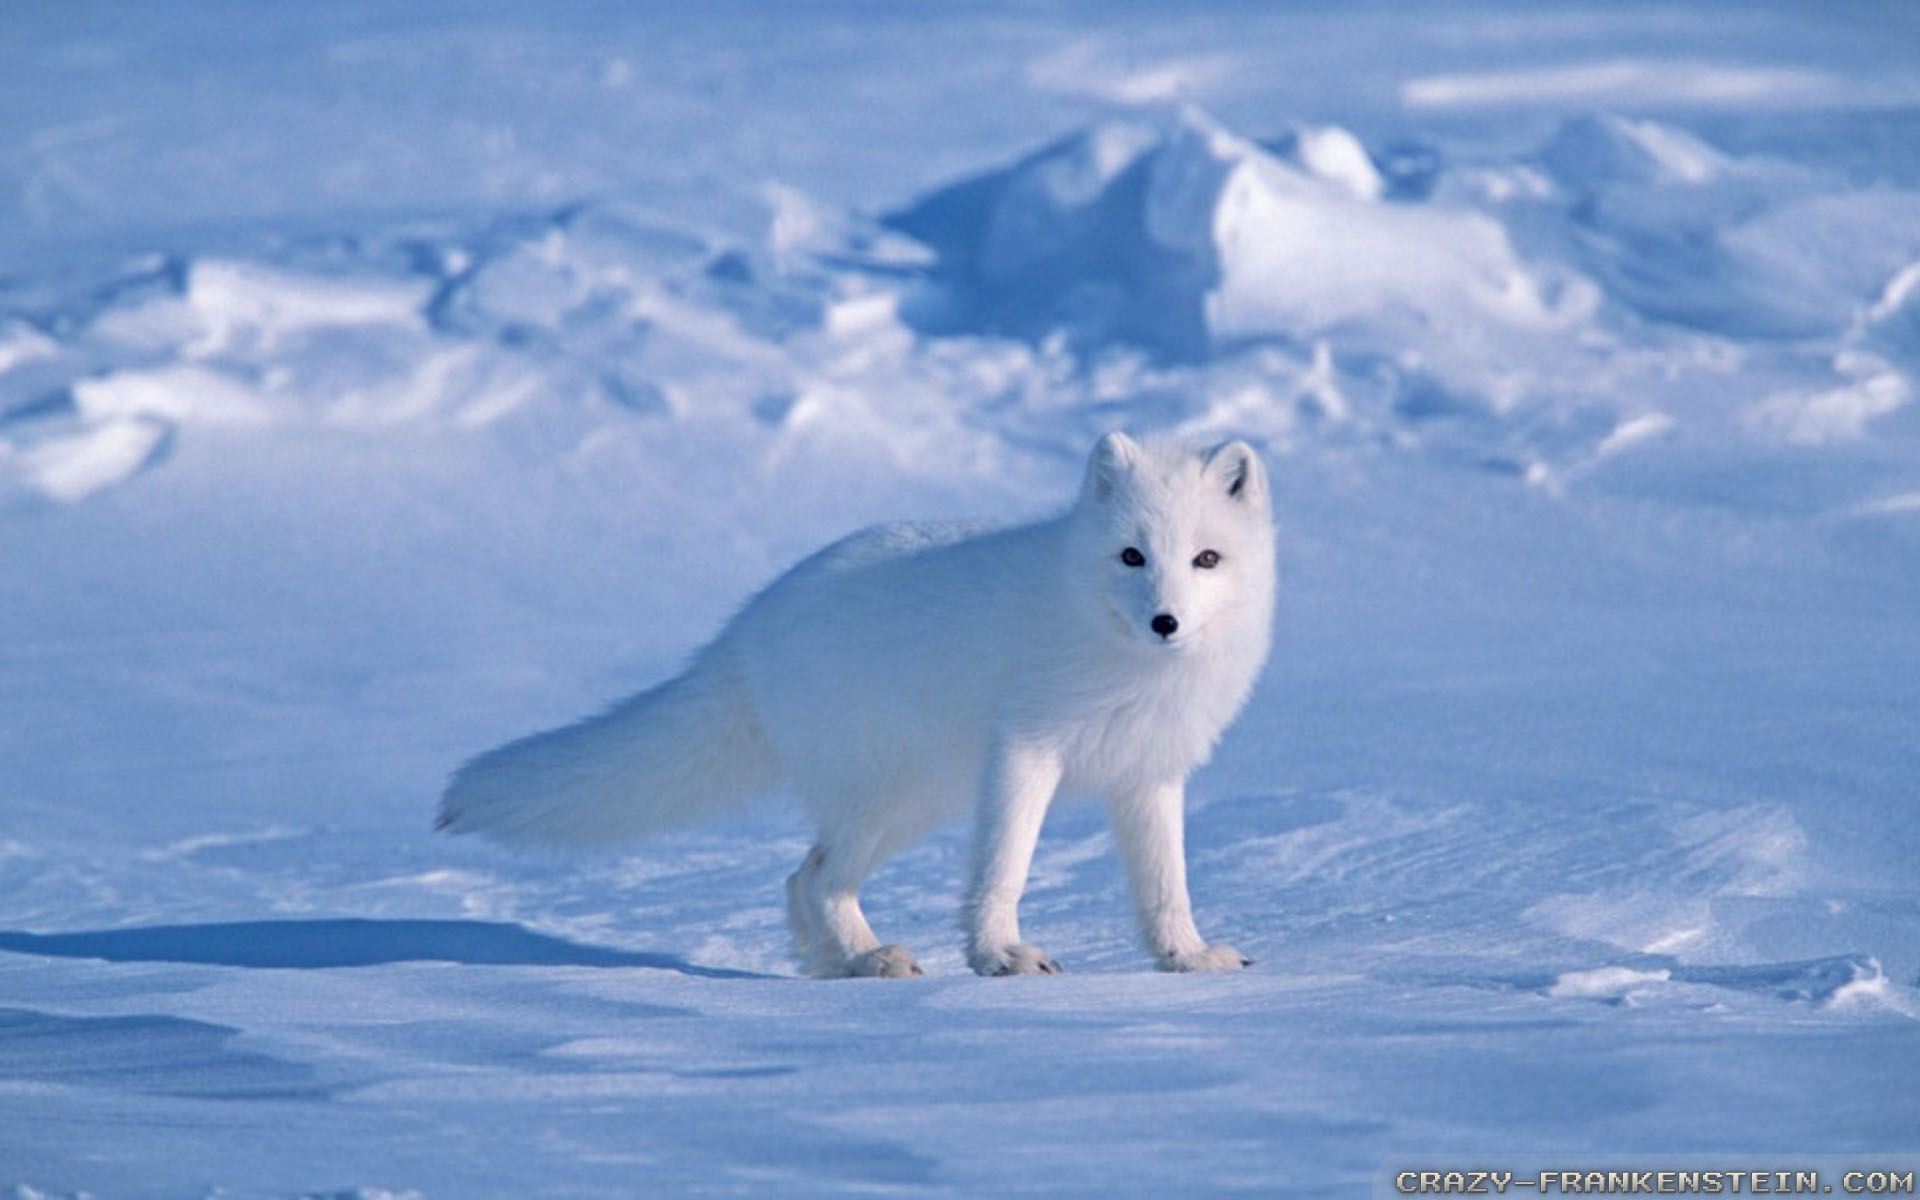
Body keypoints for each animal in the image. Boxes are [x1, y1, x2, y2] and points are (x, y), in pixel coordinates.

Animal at [437, 432, 1276, 978]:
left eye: (1205, 559)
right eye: (1131, 556)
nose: (1165, 622)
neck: (1120, 655)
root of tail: (745, 629)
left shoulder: (1150, 773)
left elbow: (1166, 884)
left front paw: (1186, 956)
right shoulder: (1025, 751)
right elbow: (1004, 866)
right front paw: (999, 955)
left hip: (915, 801)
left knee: (802, 875)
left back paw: (840, 964)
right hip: (889, 794)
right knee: (817, 876)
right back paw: (868, 959)